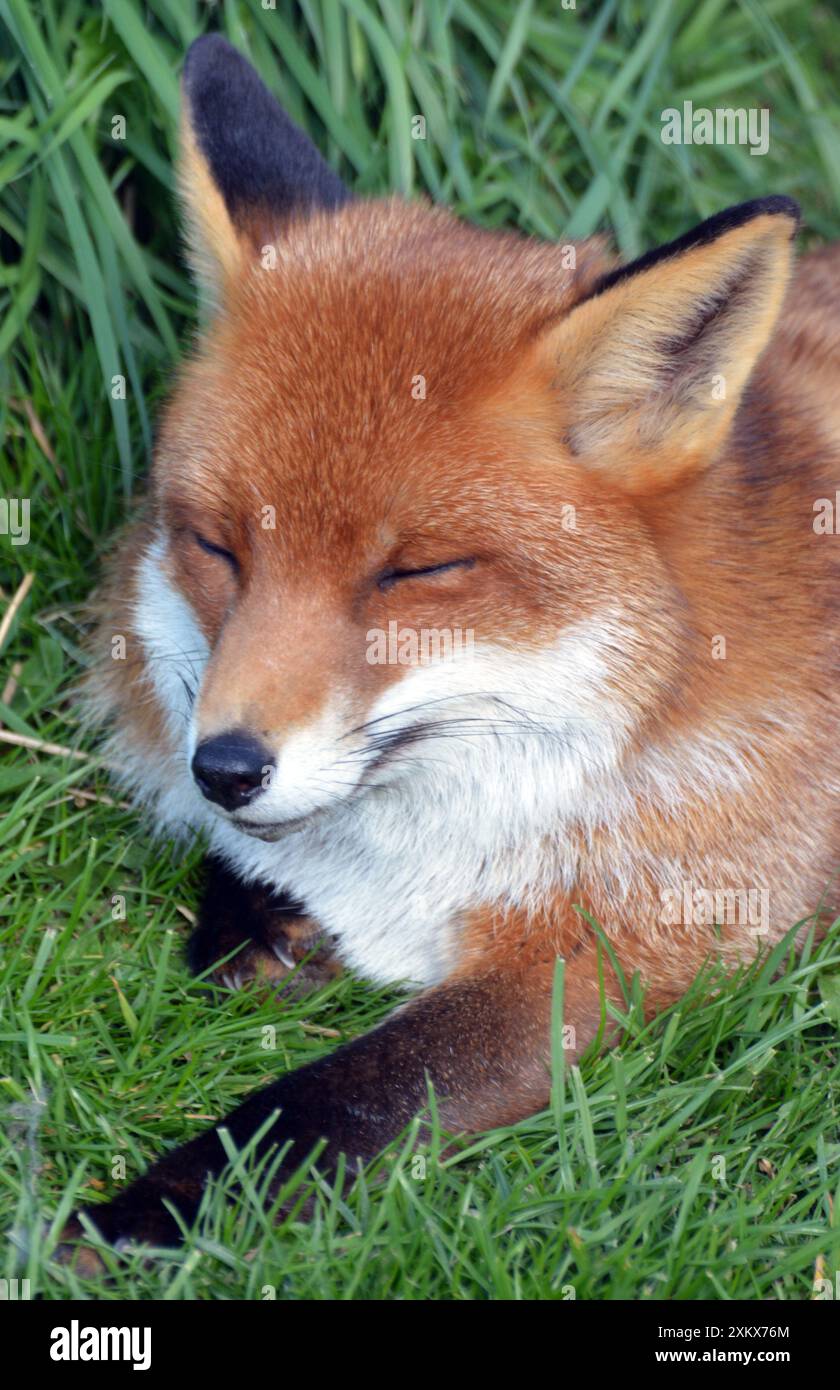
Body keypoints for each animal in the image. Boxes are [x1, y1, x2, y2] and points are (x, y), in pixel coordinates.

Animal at [60, 33, 840, 1269]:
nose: (225, 767)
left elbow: (334, 1102)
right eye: (218, 546)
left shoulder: (616, 950)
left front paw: (135, 1219)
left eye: (414, 573)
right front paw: (257, 913)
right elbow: (237, 912)